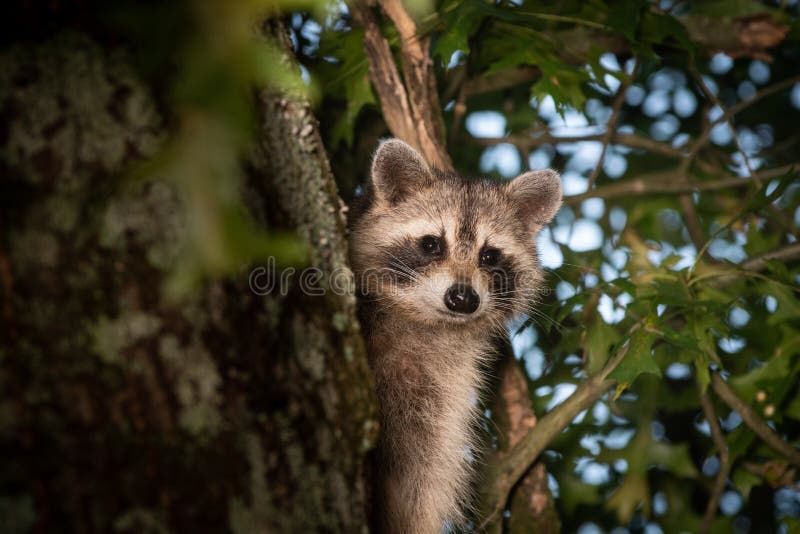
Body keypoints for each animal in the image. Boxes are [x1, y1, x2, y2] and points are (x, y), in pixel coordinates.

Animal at [349, 139, 561, 534]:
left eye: (490, 255)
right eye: (432, 244)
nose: (462, 299)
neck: (429, 324)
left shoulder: (443, 400)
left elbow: (422, 488)